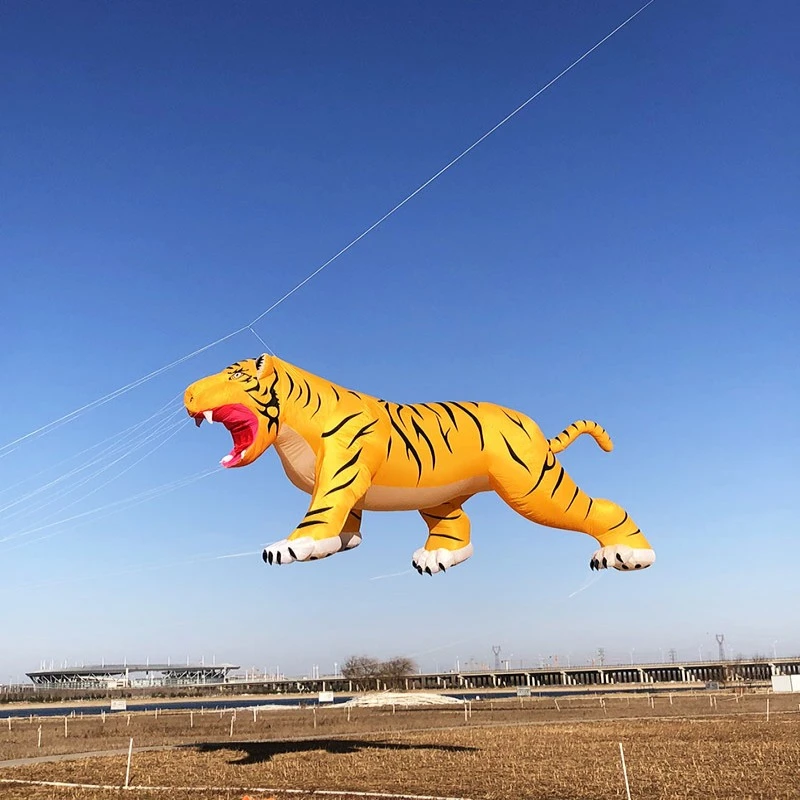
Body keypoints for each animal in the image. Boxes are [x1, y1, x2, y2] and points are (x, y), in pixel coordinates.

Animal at [183, 354, 655, 574]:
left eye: (233, 375)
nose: (187, 393)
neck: (292, 428)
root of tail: (531, 424)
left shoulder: (339, 474)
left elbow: (320, 513)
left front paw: (290, 547)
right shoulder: (344, 485)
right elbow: (346, 526)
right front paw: (328, 546)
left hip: (533, 487)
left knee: (604, 507)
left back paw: (627, 553)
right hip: (438, 496)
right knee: (458, 526)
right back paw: (439, 556)